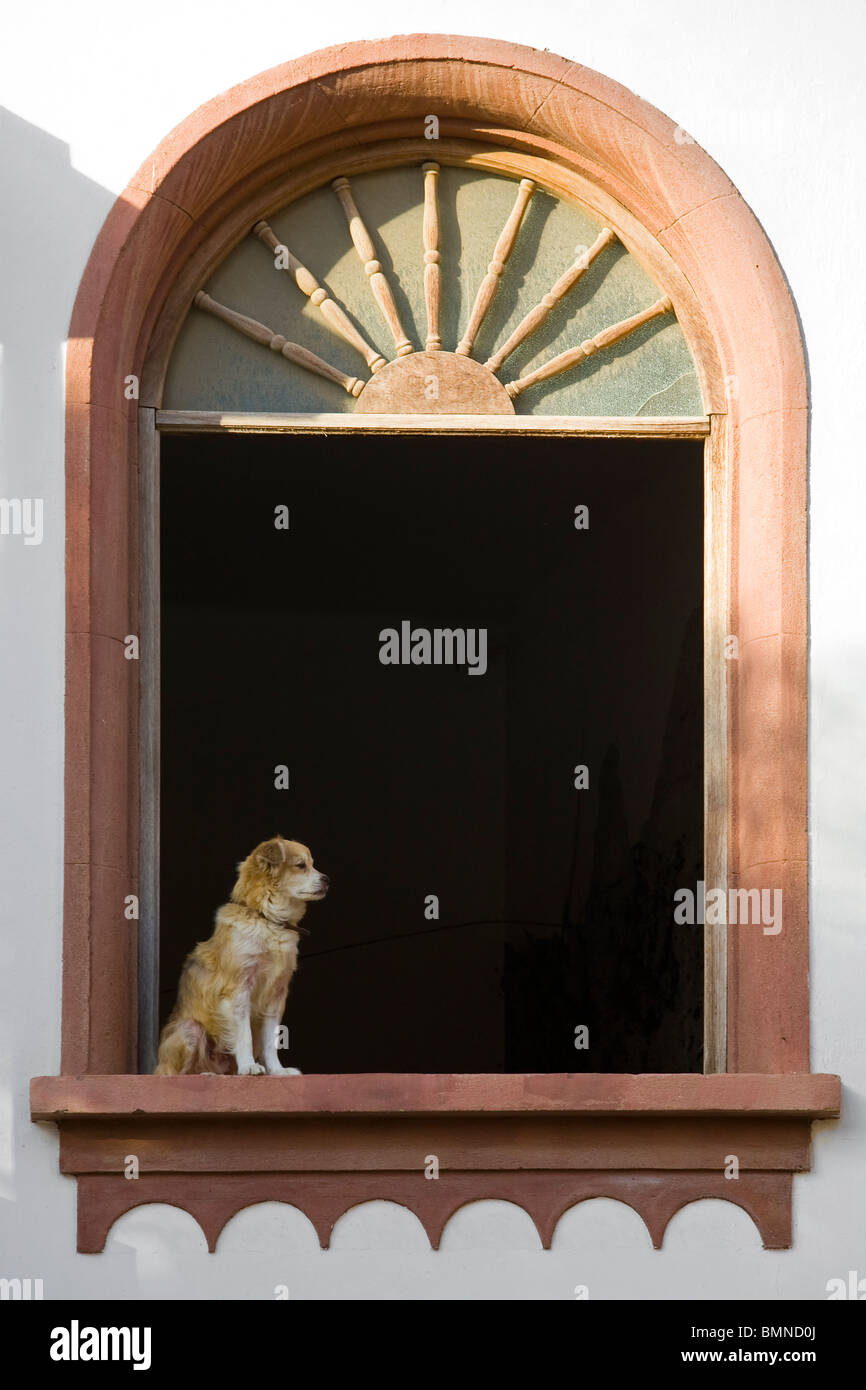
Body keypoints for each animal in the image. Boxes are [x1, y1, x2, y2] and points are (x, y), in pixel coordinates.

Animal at [154, 834, 326, 1073]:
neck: (267, 920)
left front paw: (277, 1071)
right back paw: (207, 1073)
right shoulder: (238, 990)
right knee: (179, 1073)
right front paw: (249, 1067)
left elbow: (270, 1041)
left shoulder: (275, 996)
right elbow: (244, 1036)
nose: (327, 879)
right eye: (301, 865)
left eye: (312, 864)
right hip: (190, 1028)